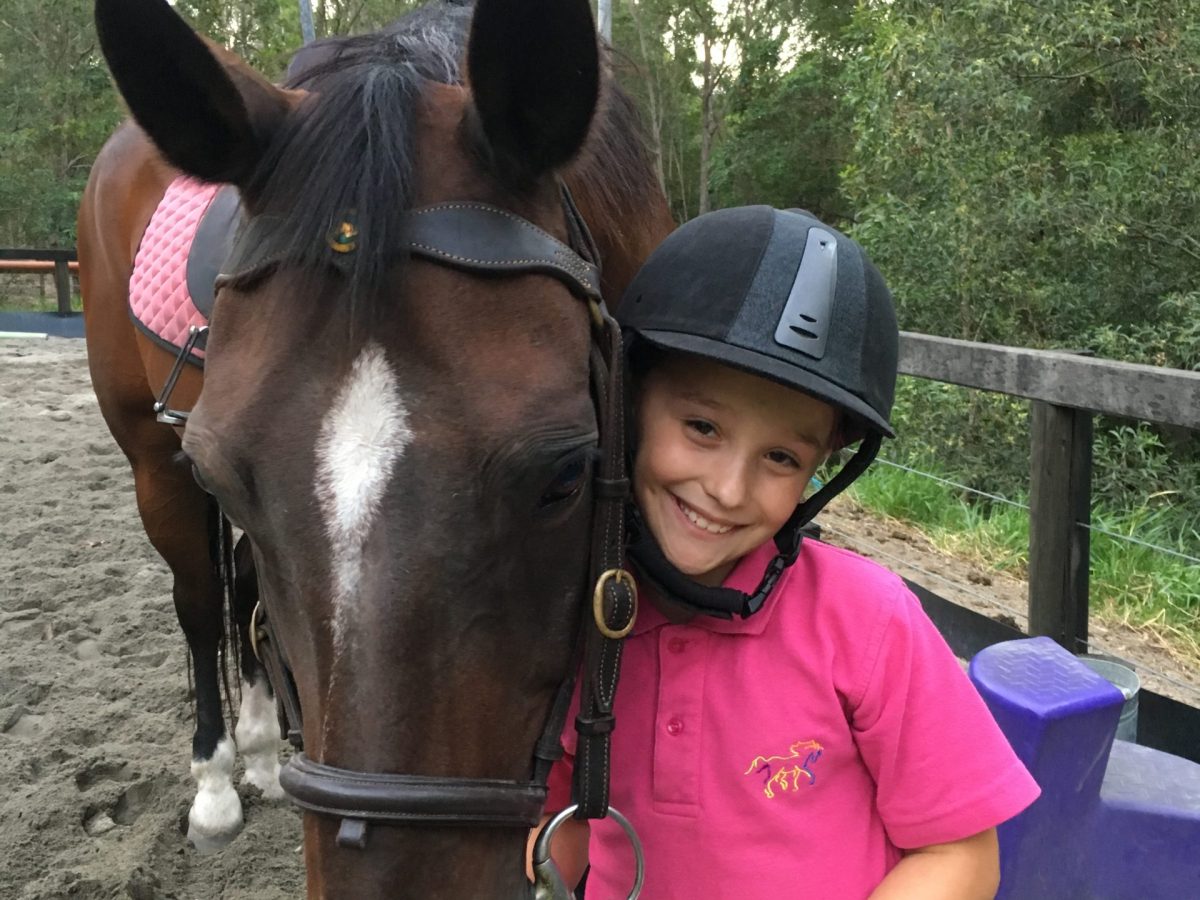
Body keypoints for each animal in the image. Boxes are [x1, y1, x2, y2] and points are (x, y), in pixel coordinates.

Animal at [77, 0, 674, 894]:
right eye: (221, 477)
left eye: (567, 475)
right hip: (152, 462)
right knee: (201, 601)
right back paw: (217, 784)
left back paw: (262, 753)